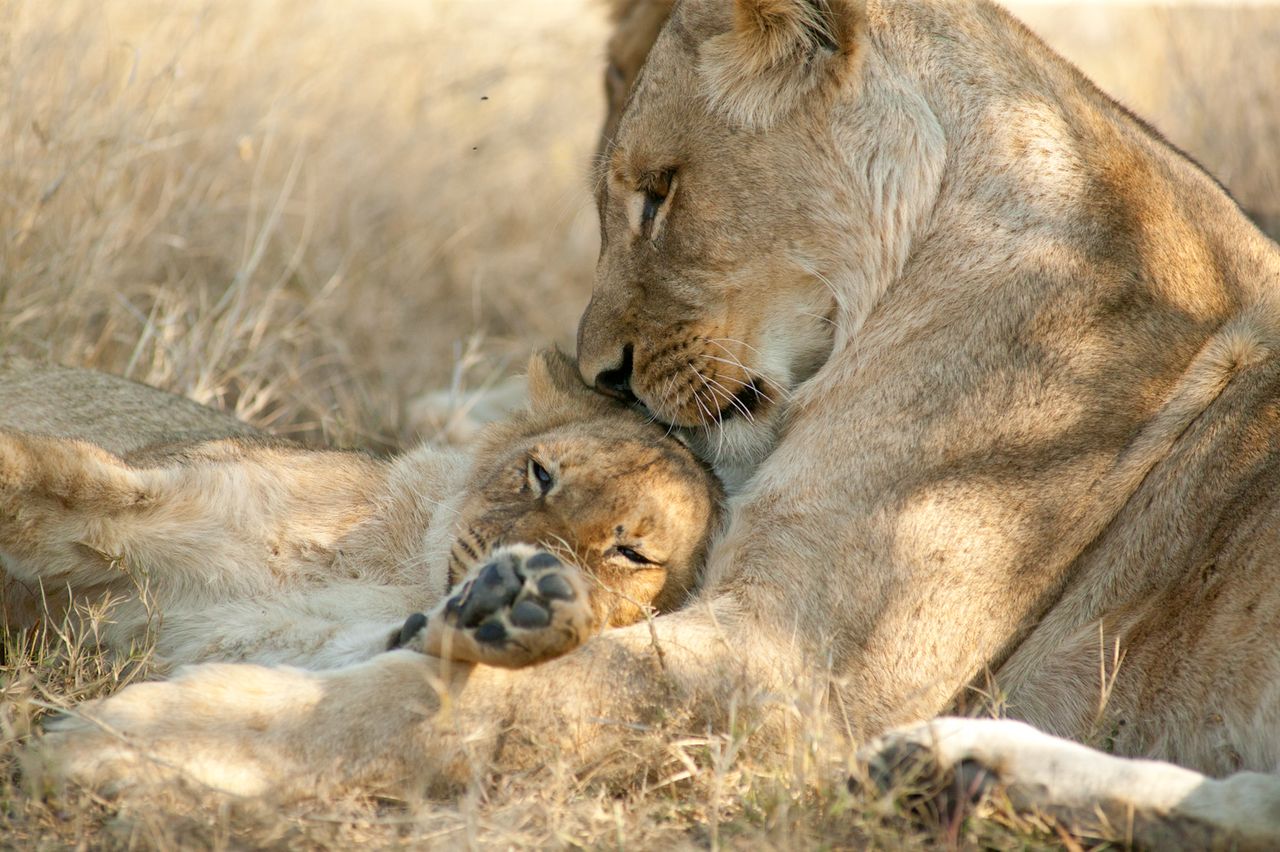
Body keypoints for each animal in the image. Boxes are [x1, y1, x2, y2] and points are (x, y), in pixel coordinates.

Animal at [1, 349, 722, 672]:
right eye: (540, 474)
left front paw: (522, 612)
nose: (510, 562)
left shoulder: (230, 635)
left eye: (630, 553)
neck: (397, 566)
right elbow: (41, 473)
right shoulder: (159, 493)